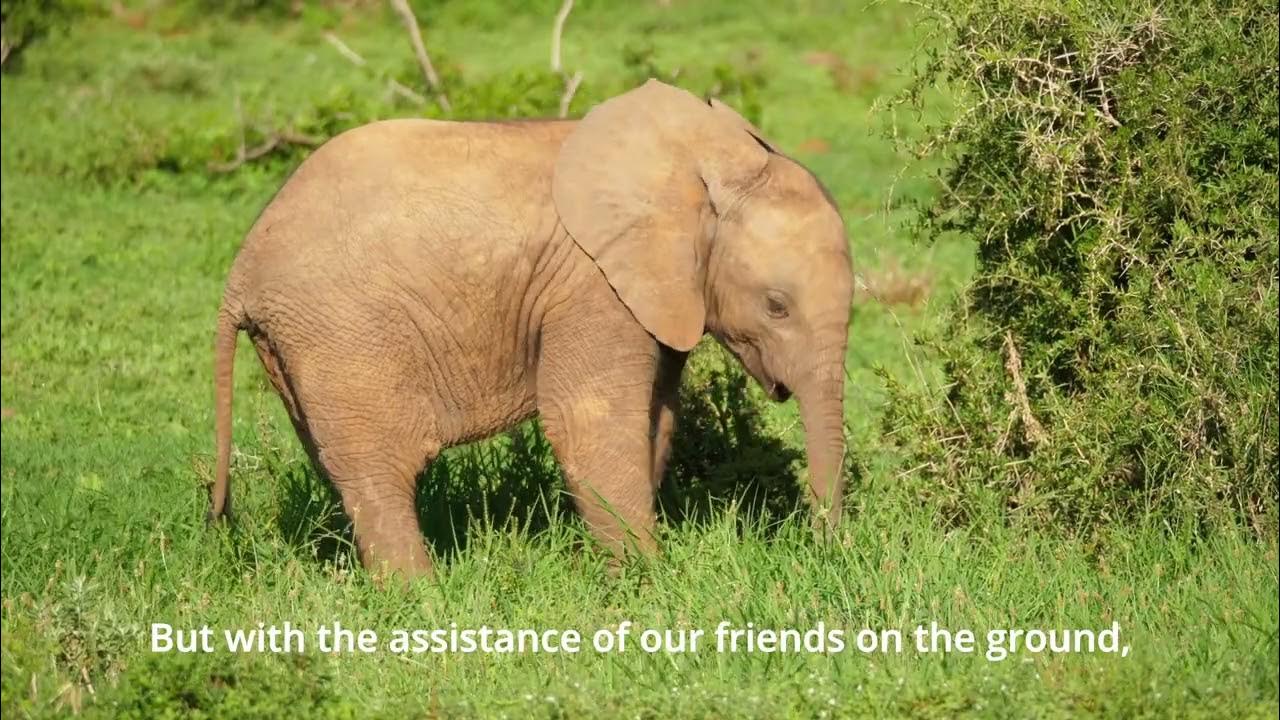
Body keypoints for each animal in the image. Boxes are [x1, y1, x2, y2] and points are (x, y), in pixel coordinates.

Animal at [209, 79, 854, 579]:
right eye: (776, 306)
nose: (821, 549)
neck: (707, 161)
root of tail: (241, 270)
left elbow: (658, 417)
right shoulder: (593, 287)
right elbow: (586, 418)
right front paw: (650, 582)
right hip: (341, 332)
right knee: (378, 469)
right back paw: (422, 599)